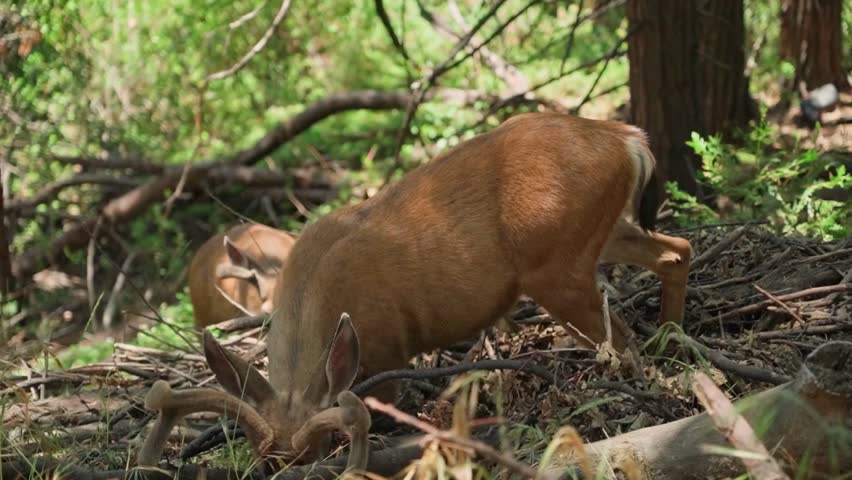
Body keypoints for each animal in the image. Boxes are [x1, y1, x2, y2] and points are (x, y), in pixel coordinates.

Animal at [137, 112, 692, 471]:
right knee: (676, 250)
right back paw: (675, 338)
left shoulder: (384, 354)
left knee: (621, 341)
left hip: (556, 264)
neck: (314, 294)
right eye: (264, 460)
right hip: (601, 235)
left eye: (312, 453)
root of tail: (626, 137)